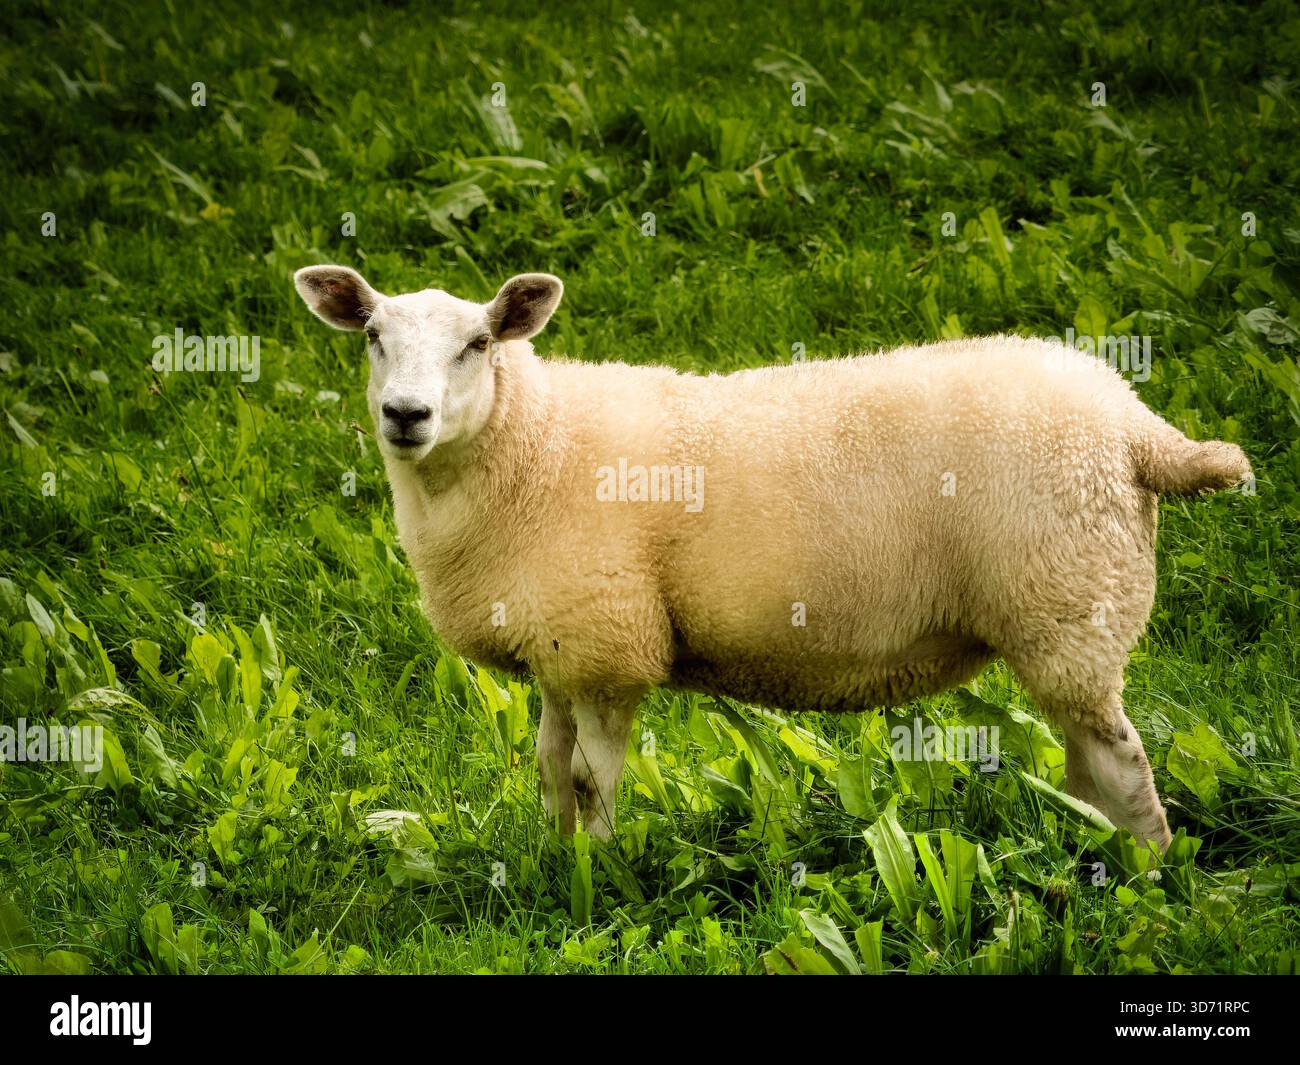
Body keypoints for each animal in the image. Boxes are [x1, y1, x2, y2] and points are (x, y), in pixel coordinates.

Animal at [294, 264, 1252, 852]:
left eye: (479, 344)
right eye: (373, 336)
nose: (406, 414)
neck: (531, 445)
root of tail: (1134, 423)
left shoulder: (609, 644)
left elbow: (589, 780)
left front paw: (594, 881)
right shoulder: (561, 645)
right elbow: (547, 772)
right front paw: (554, 862)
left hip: (1067, 602)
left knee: (1122, 761)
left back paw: (1144, 874)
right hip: (1069, 614)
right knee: (1090, 760)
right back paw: (1096, 855)